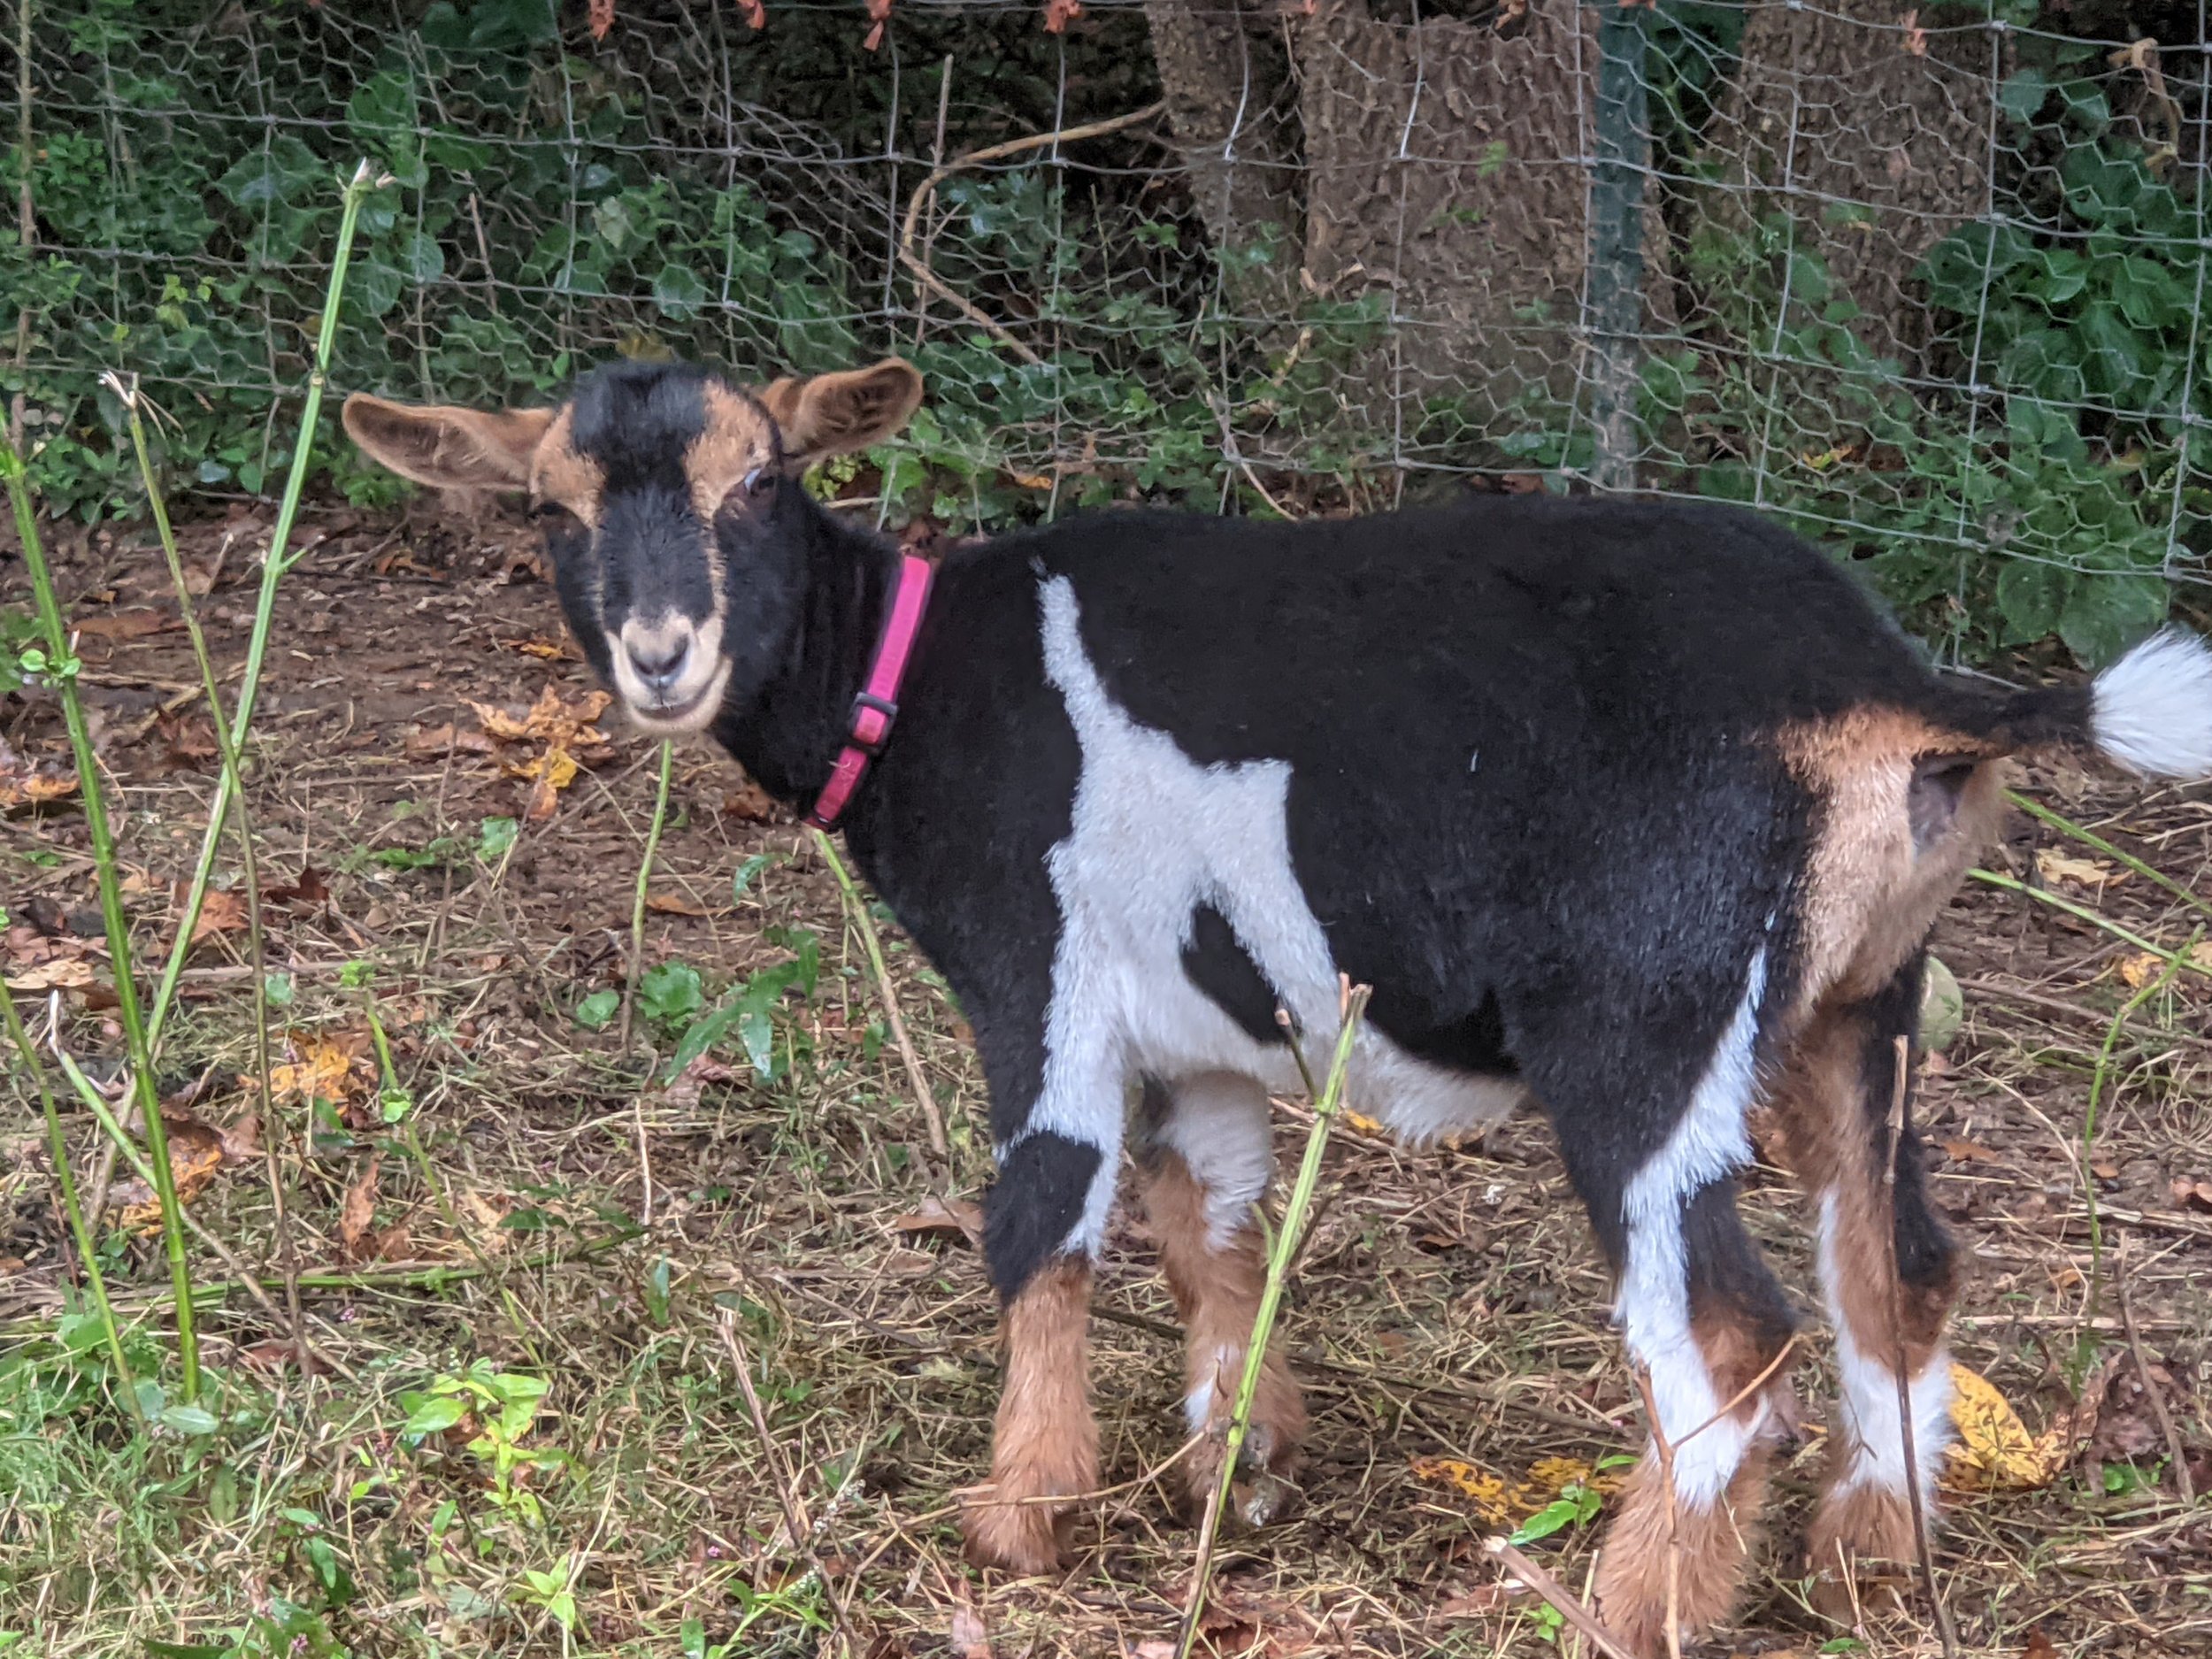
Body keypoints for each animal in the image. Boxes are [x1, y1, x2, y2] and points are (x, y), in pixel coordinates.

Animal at [343, 356, 2212, 1654]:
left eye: (760, 481)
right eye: (555, 510)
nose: (661, 653)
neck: (919, 675)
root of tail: (1891, 683)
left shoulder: (1044, 982)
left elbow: (1042, 1220)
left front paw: (1019, 1519)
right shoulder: (1204, 1035)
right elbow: (1211, 1224)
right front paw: (1231, 1459)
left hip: (1647, 1017)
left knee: (1729, 1328)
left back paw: (1622, 1610)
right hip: (1859, 995)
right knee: (1897, 1263)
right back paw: (1873, 1571)